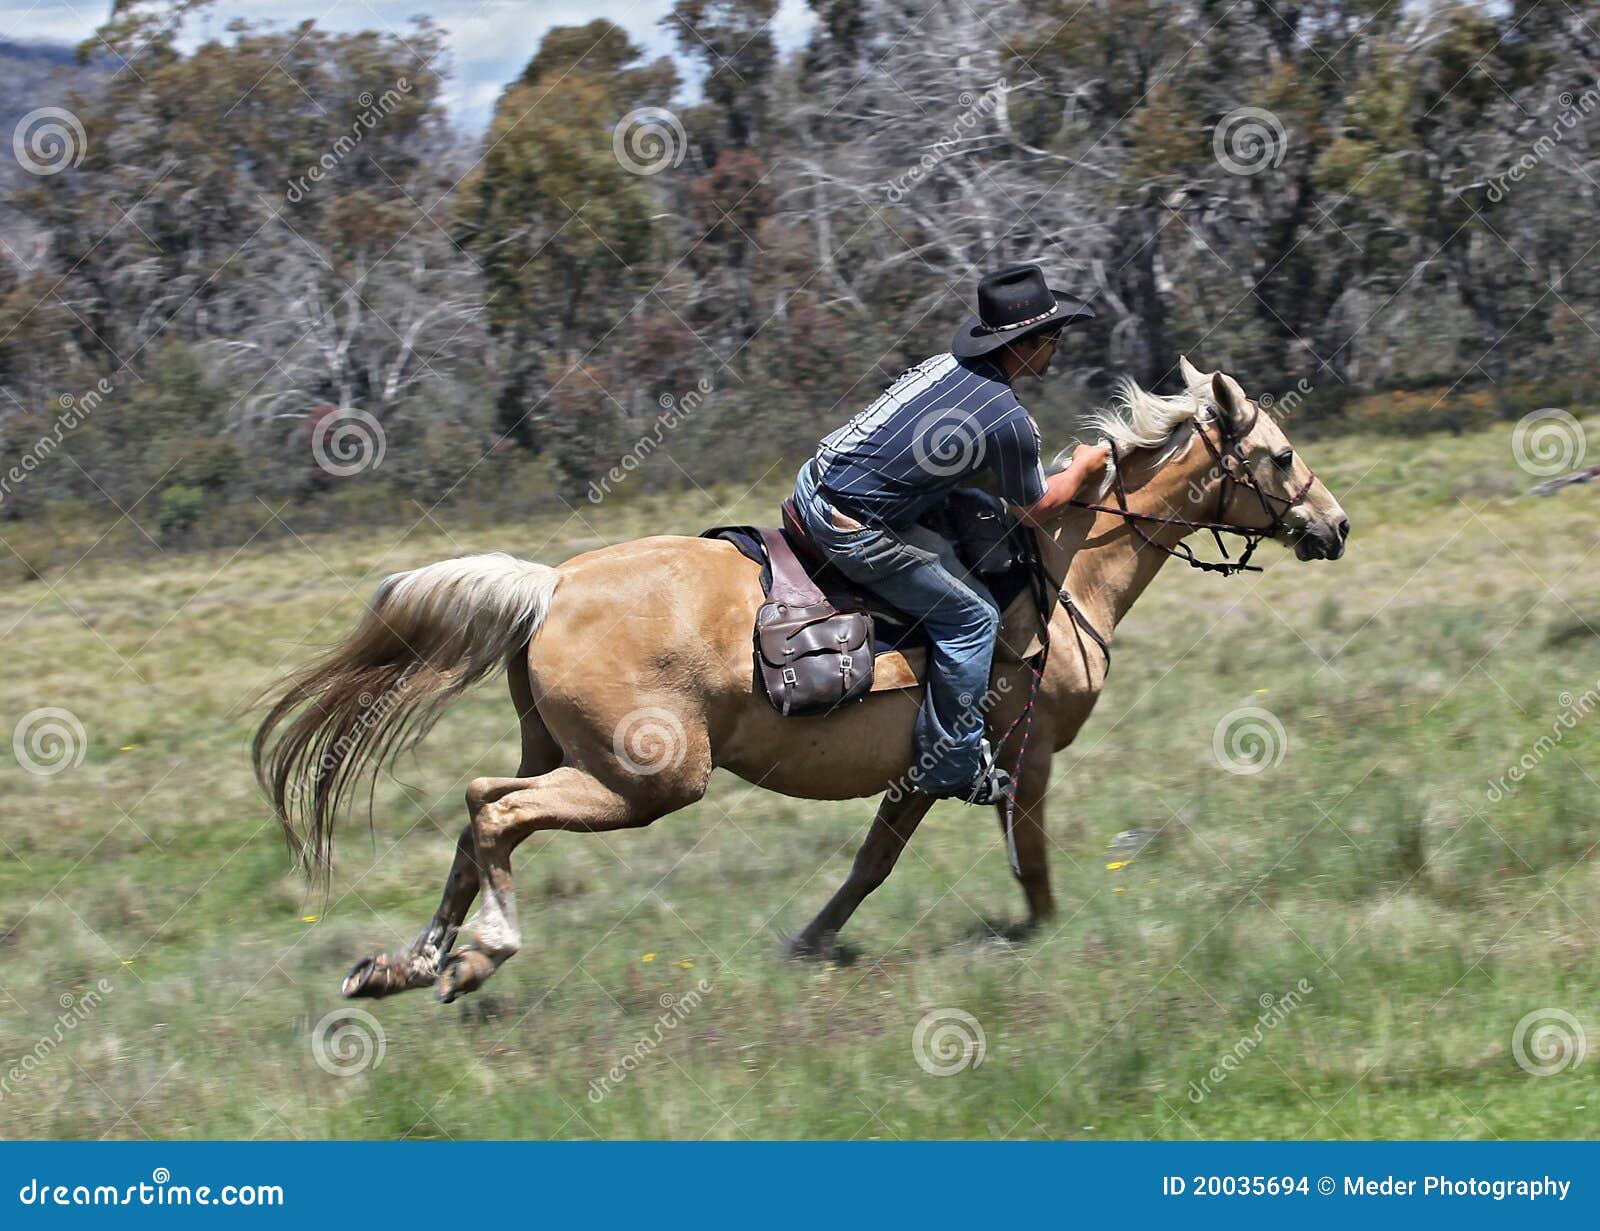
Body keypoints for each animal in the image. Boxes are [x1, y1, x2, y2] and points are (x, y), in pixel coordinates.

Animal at [253, 359, 1350, 1003]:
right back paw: (481, 952)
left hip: (569, 753)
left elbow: (868, 867)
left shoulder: (922, 771)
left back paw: (403, 964)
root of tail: (550, 584)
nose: (1334, 526)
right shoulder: (1023, 755)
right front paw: (1038, 940)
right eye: (1279, 454)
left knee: (479, 810)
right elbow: (1030, 865)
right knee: (495, 812)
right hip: (649, 779)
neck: (1057, 565)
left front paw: (808, 944)